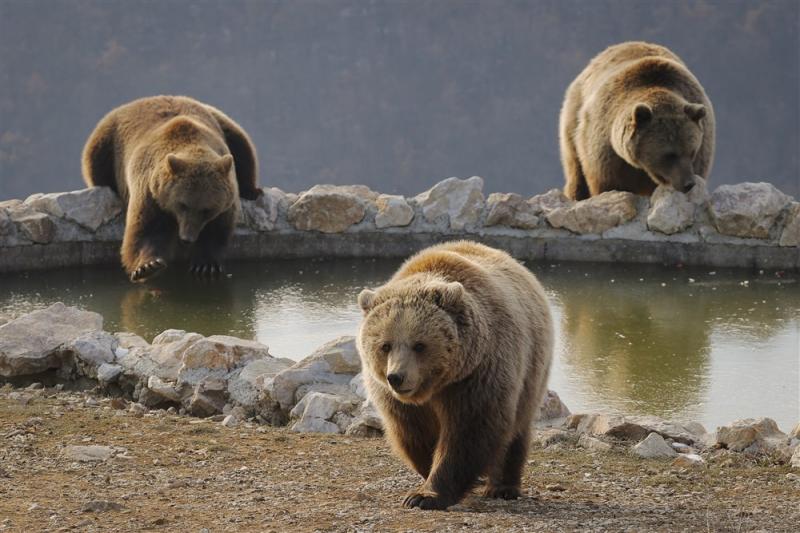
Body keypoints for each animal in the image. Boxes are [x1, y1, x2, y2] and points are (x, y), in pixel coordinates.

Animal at [81, 95, 261, 282]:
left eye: (206, 210)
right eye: (183, 205)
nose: (187, 238)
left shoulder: (226, 197)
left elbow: (218, 228)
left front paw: (205, 264)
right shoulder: (150, 191)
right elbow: (145, 229)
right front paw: (148, 266)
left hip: (220, 120)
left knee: (242, 145)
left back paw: (252, 191)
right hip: (106, 140)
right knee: (96, 161)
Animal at [356, 241, 554, 510]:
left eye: (419, 345)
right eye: (385, 345)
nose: (396, 377)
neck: (437, 385)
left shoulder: (477, 375)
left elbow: (468, 431)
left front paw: (424, 496)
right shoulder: (398, 401)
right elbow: (414, 432)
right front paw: (427, 475)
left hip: (531, 367)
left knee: (516, 428)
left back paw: (502, 487)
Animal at [559, 41, 715, 200]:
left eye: (692, 152)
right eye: (669, 154)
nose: (688, 183)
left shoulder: (703, 146)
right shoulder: (606, 149)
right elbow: (606, 182)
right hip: (575, 114)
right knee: (575, 165)